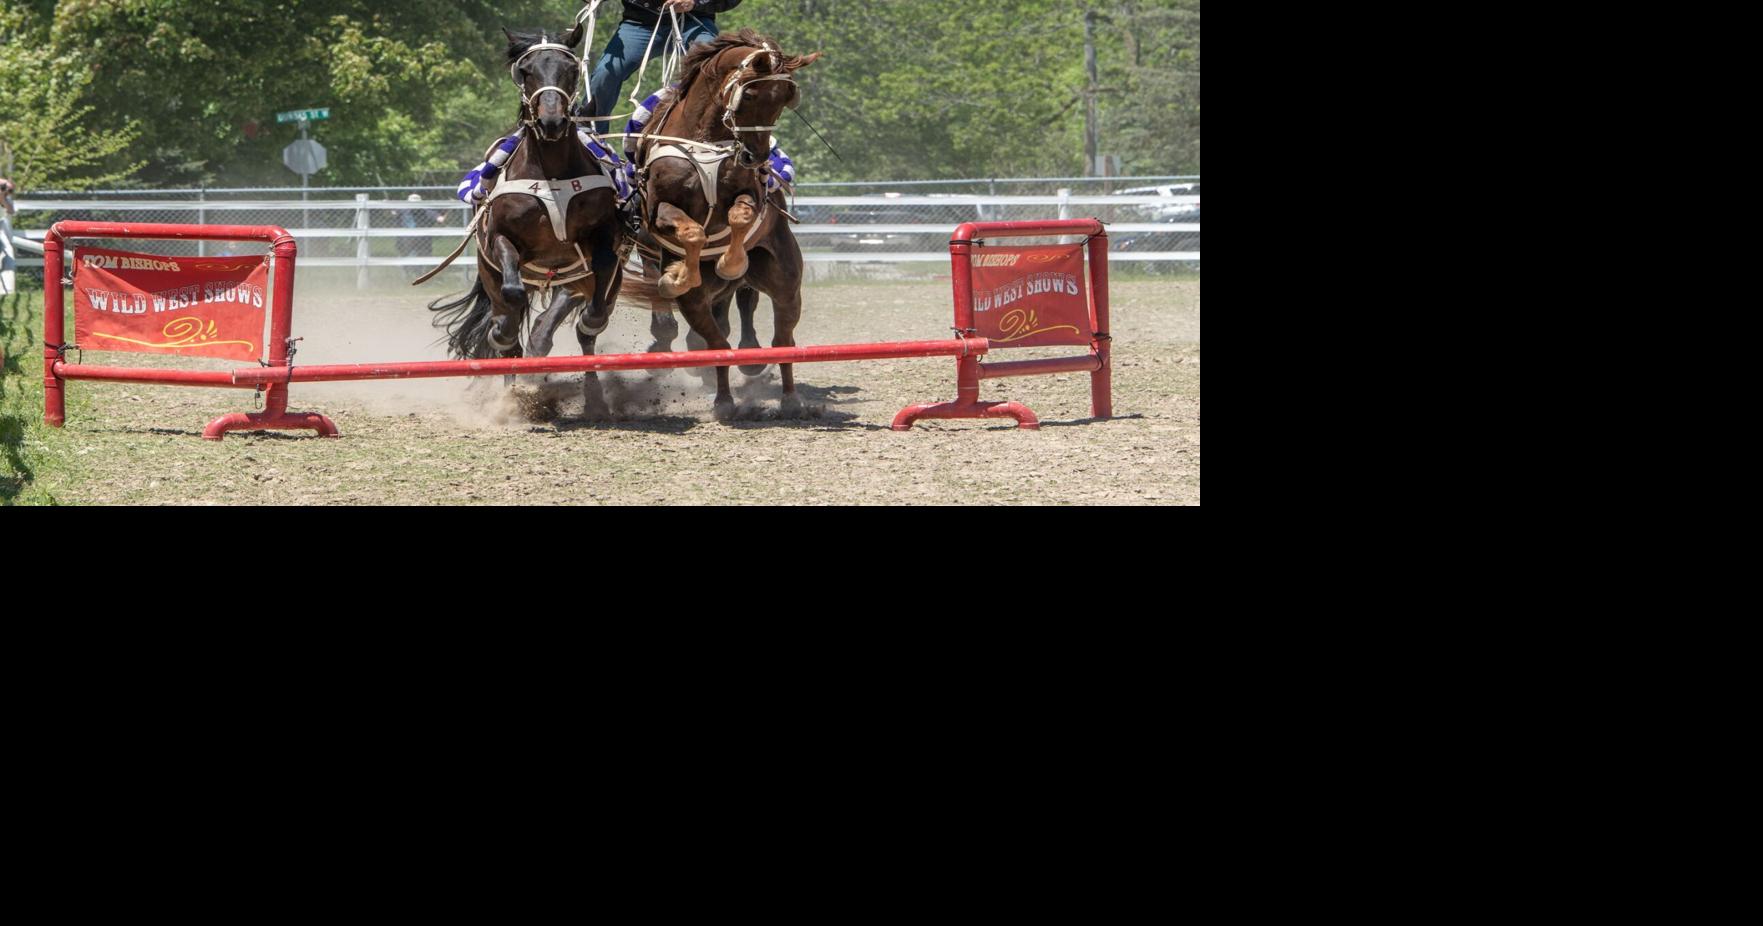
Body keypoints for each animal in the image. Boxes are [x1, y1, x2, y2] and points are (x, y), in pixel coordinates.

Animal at [430, 22, 627, 418]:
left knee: (577, 326)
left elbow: (599, 287)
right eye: (525, 70)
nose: (551, 121)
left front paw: (589, 322)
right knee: (510, 322)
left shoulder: (602, 240)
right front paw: (504, 336)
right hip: (492, 273)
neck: (551, 177)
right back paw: (513, 393)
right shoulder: (500, 241)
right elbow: (511, 296)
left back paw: (593, 396)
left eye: (570, 70)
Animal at [623, 29, 822, 419]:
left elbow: (739, 215)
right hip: (696, 303)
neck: (705, 143)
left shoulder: (750, 194)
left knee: (783, 340)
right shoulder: (659, 210)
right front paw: (680, 273)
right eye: (751, 95)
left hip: (786, 286)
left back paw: (790, 398)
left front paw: (731, 260)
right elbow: (691, 230)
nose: (755, 157)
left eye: (783, 99)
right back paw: (724, 400)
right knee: (717, 343)